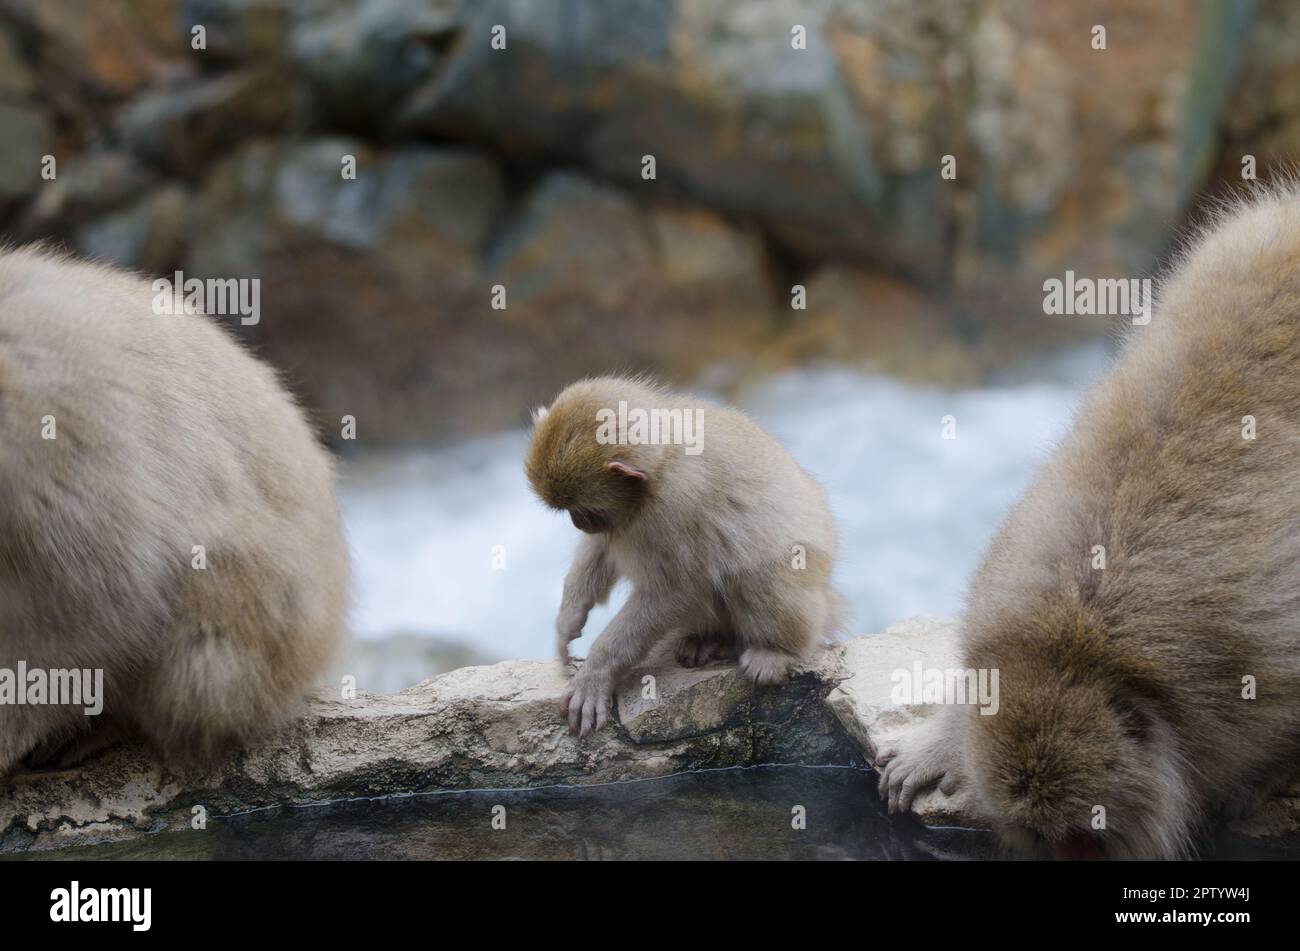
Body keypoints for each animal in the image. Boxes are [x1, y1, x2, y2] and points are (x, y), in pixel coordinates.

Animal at [525, 376, 846, 736]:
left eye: (583, 510)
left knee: (757, 573)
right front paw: (569, 620)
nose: (578, 522)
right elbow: (600, 548)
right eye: (571, 510)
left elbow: (676, 590)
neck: (662, 463)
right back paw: (707, 640)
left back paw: (775, 651)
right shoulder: (616, 521)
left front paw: (595, 674)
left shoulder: (676, 505)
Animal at [877, 186, 1300, 859]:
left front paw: (1260, 778)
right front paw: (941, 740)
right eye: (1042, 836)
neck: (1074, 639)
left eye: (1085, 833)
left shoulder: (1263, 655)